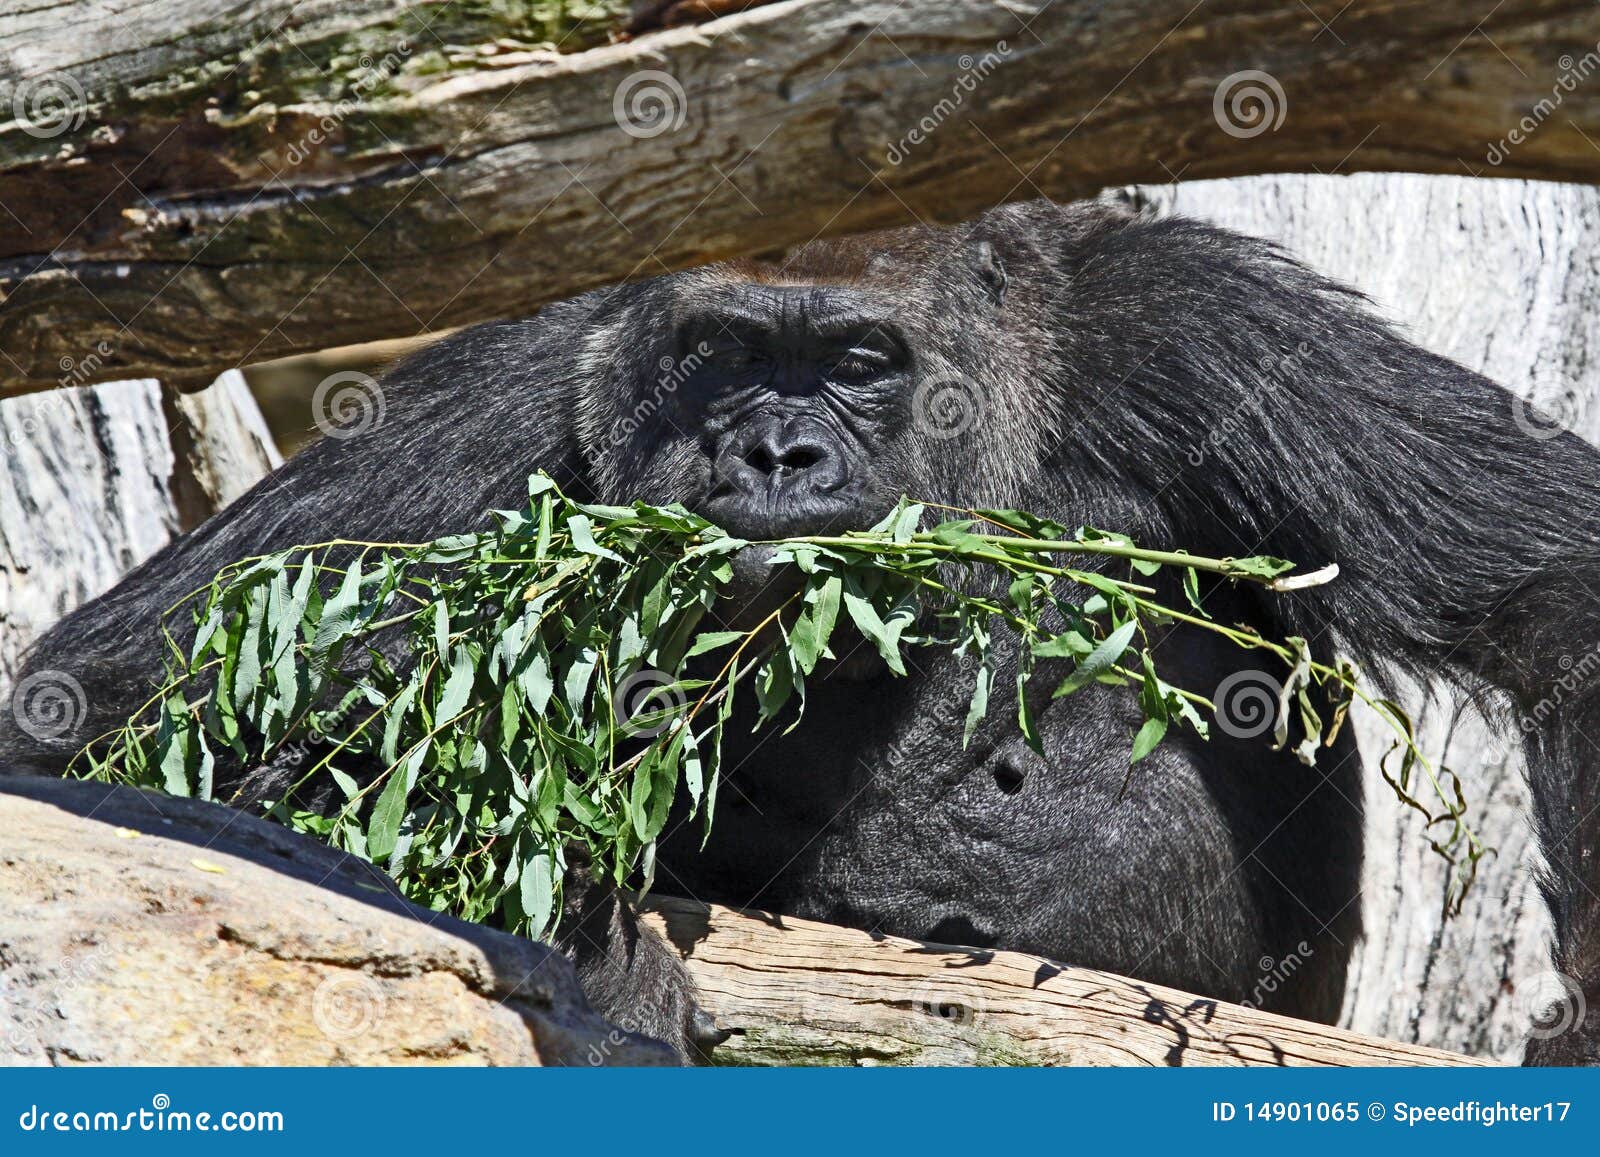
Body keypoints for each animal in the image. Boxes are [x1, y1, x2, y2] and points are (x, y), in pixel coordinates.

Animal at [4, 198, 1597, 1064]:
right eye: (721, 352)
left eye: (856, 359)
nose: (775, 456)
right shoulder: (532, 369)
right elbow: (99, 699)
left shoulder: (1200, 324)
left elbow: (1549, 587)